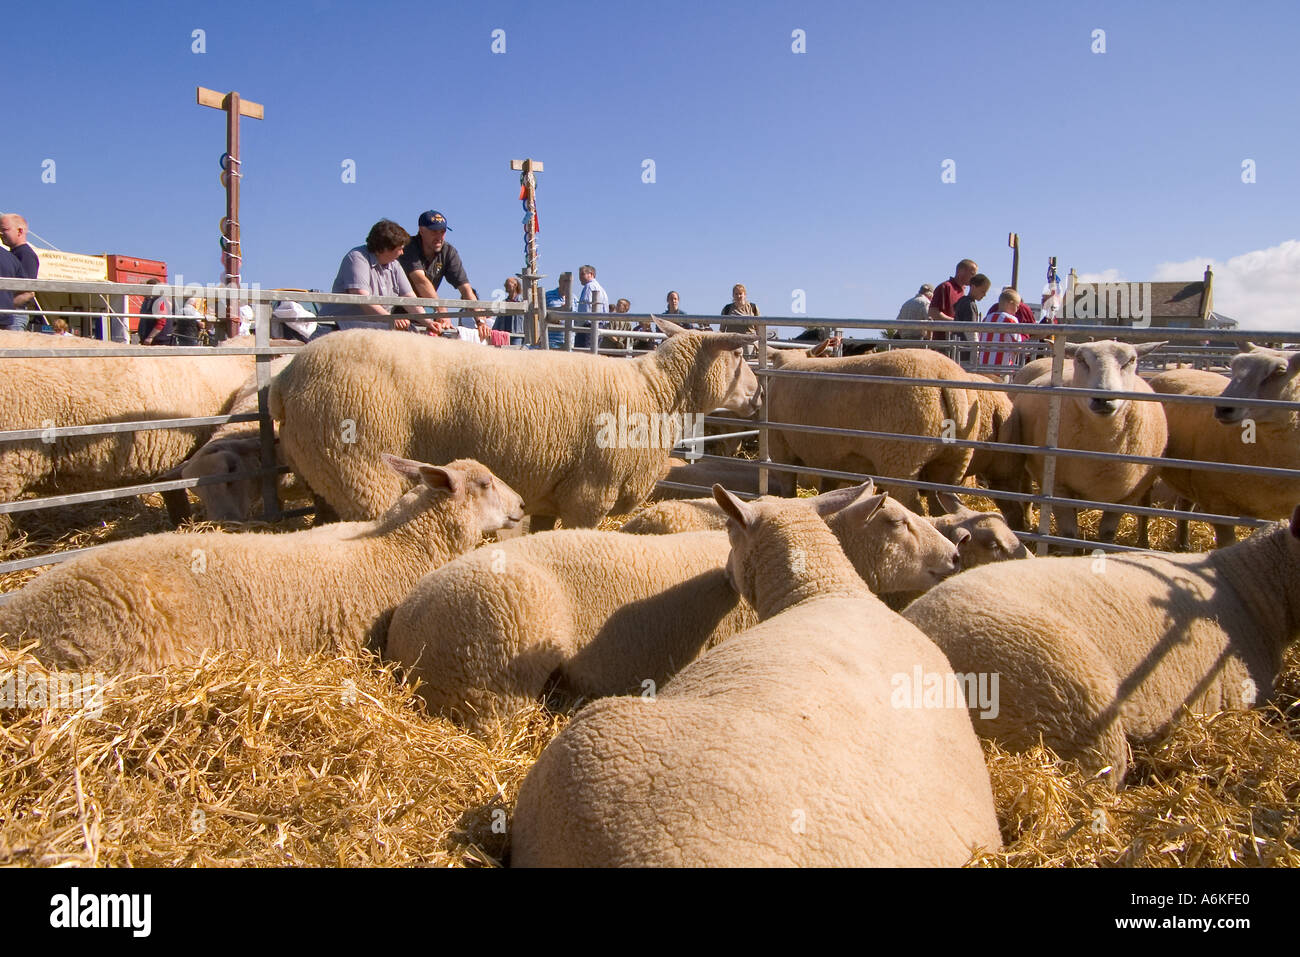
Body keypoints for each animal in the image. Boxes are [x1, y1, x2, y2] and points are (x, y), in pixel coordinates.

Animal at [269, 319, 760, 527]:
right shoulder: (589, 493)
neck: (654, 392)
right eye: (739, 354)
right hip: (363, 472)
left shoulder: (553, 493)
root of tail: (285, 381)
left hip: (326, 475)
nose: (758, 395)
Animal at [764, 347, 980, 510]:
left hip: (900, 456)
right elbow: (828, 488)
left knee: (911, 504)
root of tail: (946, 376)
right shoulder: (831, 457)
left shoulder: (780, 447)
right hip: (957, 459)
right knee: (942, 503)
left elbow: (788, 489)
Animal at [997, 340, 1167, 547]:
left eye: (1131, 360)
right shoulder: (1058, 487)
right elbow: (1069, 533)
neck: (1103, 443)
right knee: (1026, 491)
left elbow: (1107, 533)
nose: (1103, 399)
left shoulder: (1127, 495)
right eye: (1081, 359)